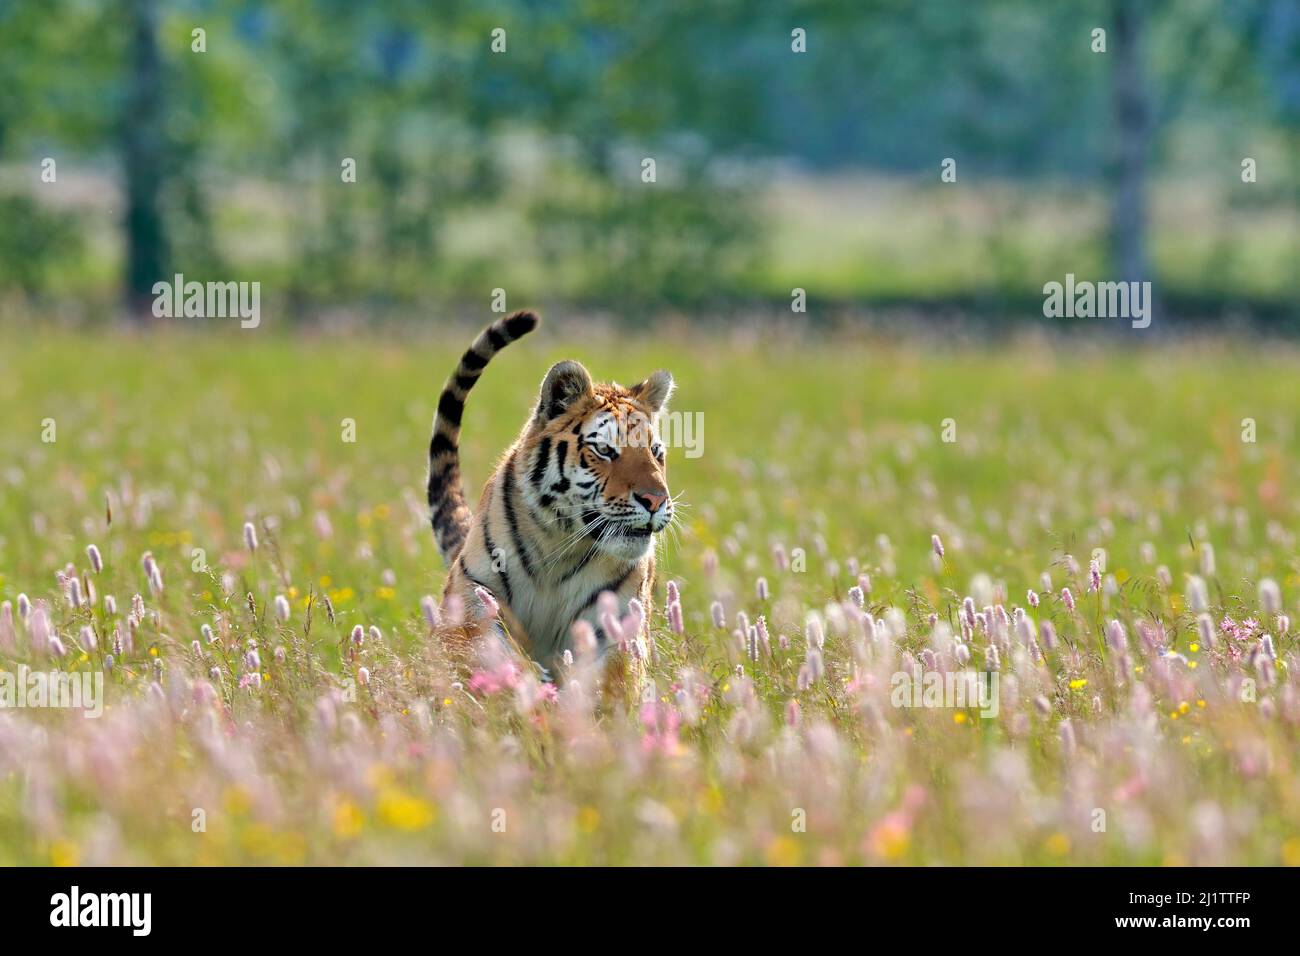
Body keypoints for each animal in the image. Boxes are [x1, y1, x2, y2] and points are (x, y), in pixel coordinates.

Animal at [426, 310, 676, 679]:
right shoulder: (475, 591)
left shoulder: (614, 621)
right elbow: (494, 647)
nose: (655, 501)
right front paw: (529, 681)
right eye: (605, 449)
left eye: (655, 452)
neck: (560, 546)